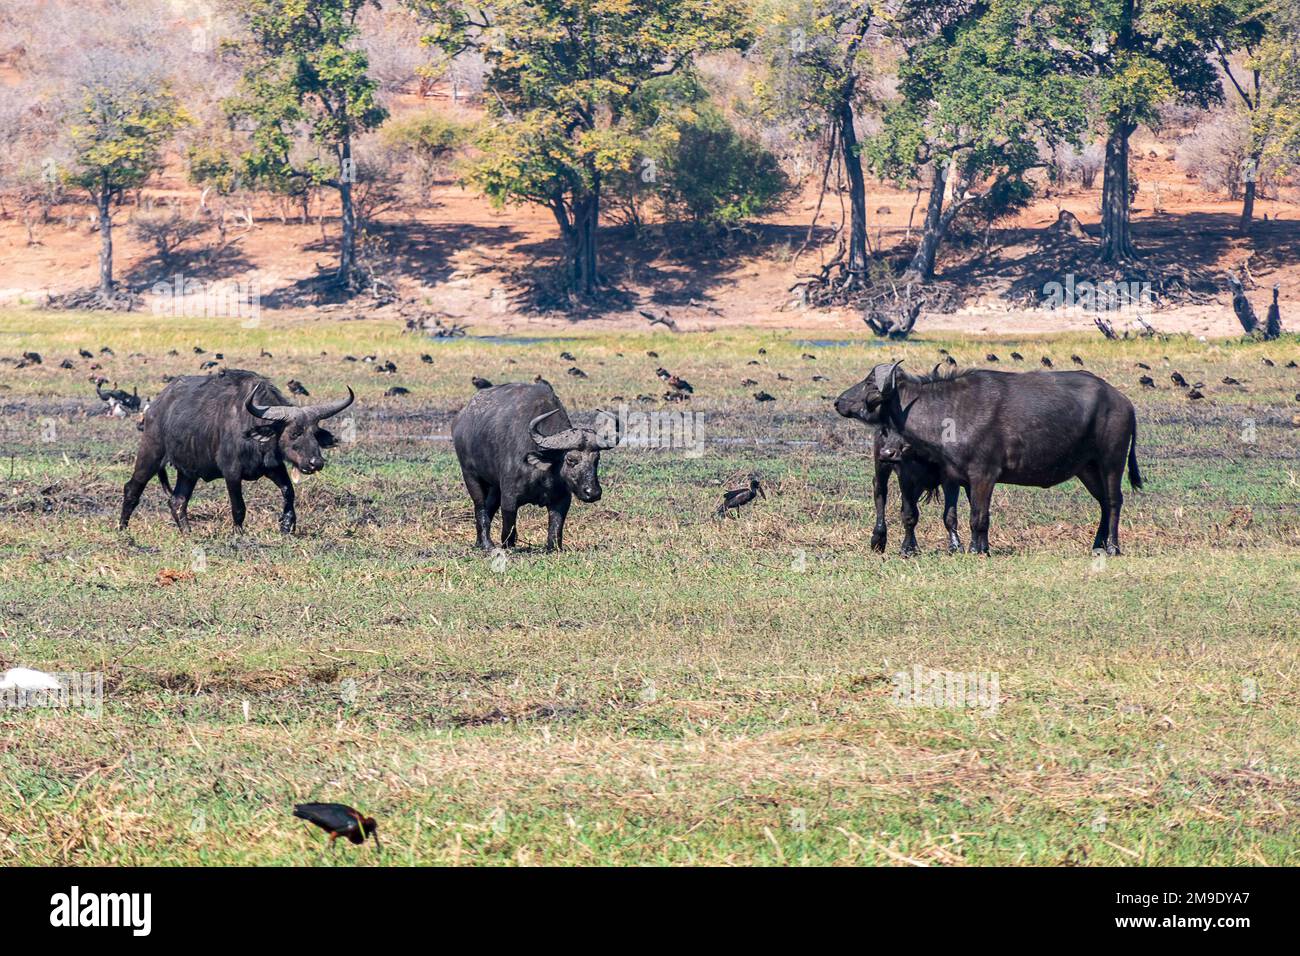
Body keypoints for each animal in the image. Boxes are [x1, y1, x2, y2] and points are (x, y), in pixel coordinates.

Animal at [119, 369, 354, 533]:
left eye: (314, 433)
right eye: (294, 433)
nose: (315, 462)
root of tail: (154, 408)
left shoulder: (274, 467)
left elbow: (289, 491)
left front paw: (287, 524)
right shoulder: (231, 473)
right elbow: (239, 507)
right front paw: (238, 533)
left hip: (188, 471)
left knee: (177, 501)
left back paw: (187, 532)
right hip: (150, 454)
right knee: (132, 488)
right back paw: (122, 527)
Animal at [452, 381, 615, 551]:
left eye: (596, 458)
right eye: (571, 459)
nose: (593, 493)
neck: (545, 471)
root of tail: (460, 420)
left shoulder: (562, 498)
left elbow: (556, 526)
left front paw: (554, 548)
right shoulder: (509, 497)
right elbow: (509, 526)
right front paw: (508, 546)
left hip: (495, 486)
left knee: (489, 506)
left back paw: (479, 542)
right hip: (470, 475)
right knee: (480, 507)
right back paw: (486, 543)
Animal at [837, 364, 1142, 555]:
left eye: (868, 383)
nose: (838, 401)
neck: (948, 413)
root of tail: (1123, 401)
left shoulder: (983, 475)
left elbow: (978, 517)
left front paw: (976, 549)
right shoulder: (956, 477)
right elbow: (963, 514)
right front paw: (978, 547)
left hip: (1111, 461)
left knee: (1114, 502)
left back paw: (1112, 547)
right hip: (1086, 469)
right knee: (1102, 503)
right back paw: (1097, 545)